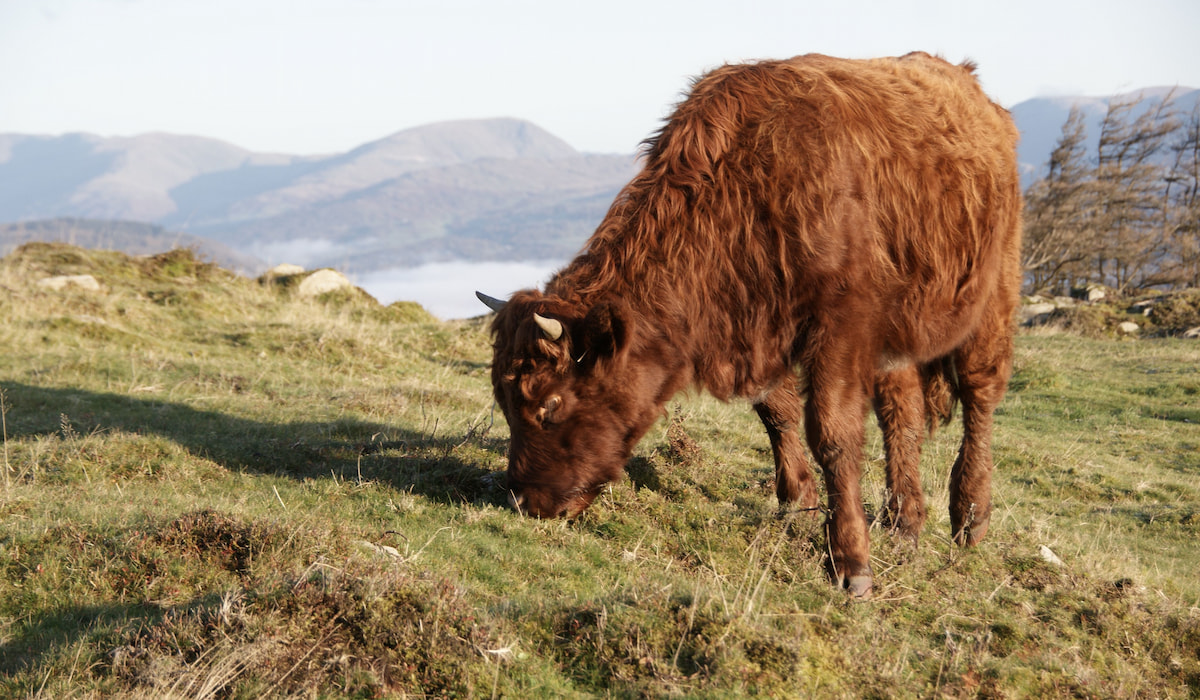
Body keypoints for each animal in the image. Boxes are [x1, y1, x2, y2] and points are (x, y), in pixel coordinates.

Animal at [477, 52, 1021, 598]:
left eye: (551, 404)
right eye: (505, 402)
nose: (524, 501)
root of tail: (971, 87)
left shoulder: (840, 332)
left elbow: (834, 434)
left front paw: (850, 562)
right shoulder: (758, 330)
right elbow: (776, 412)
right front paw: (800, 502)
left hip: (992, 299)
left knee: (980, 398)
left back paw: (970, 517)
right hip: (900, 334)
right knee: (902, 415)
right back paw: (905, 523)